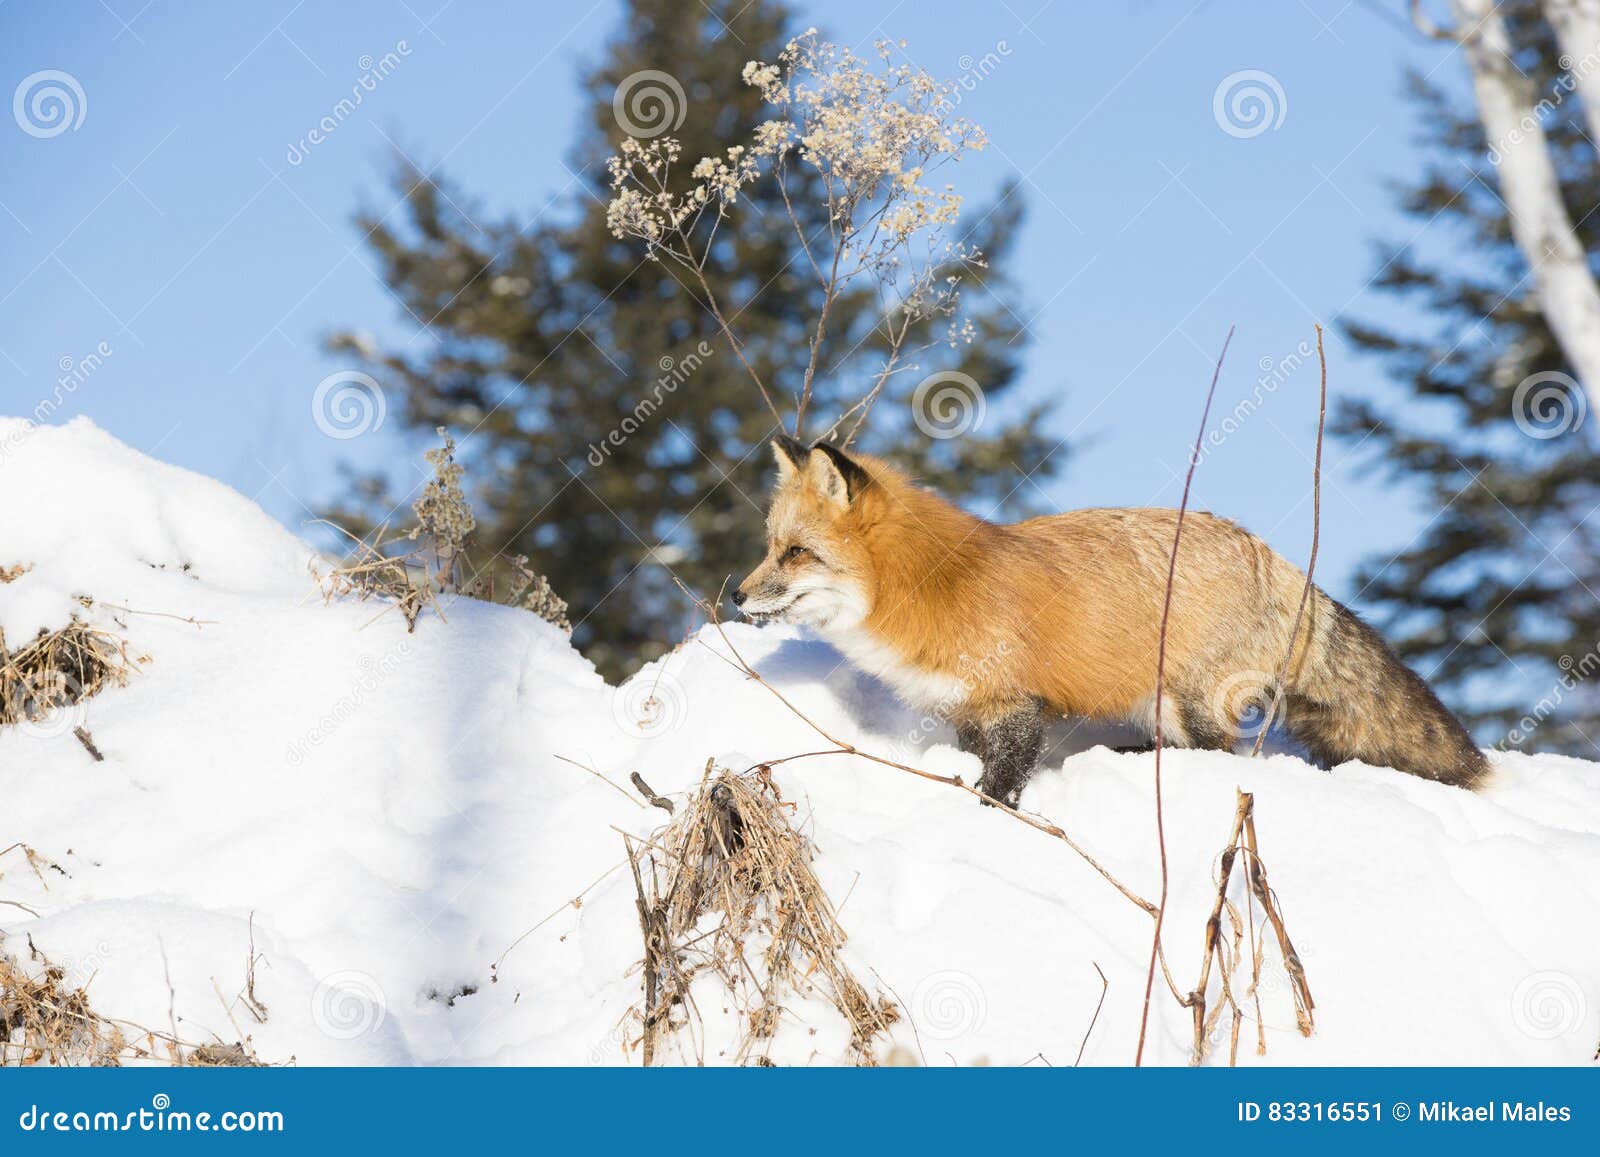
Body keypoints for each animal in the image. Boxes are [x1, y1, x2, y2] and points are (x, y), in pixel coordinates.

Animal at [732, 436, 1489, 807]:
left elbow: (1000, 787)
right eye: (769, 545)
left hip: (1190, 701)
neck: (930, 586)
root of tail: (1269, 555)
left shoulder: (1014, 705)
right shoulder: (967, 712)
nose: (737, 597)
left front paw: (988, 818)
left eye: (796, 554)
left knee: (1222, 758)